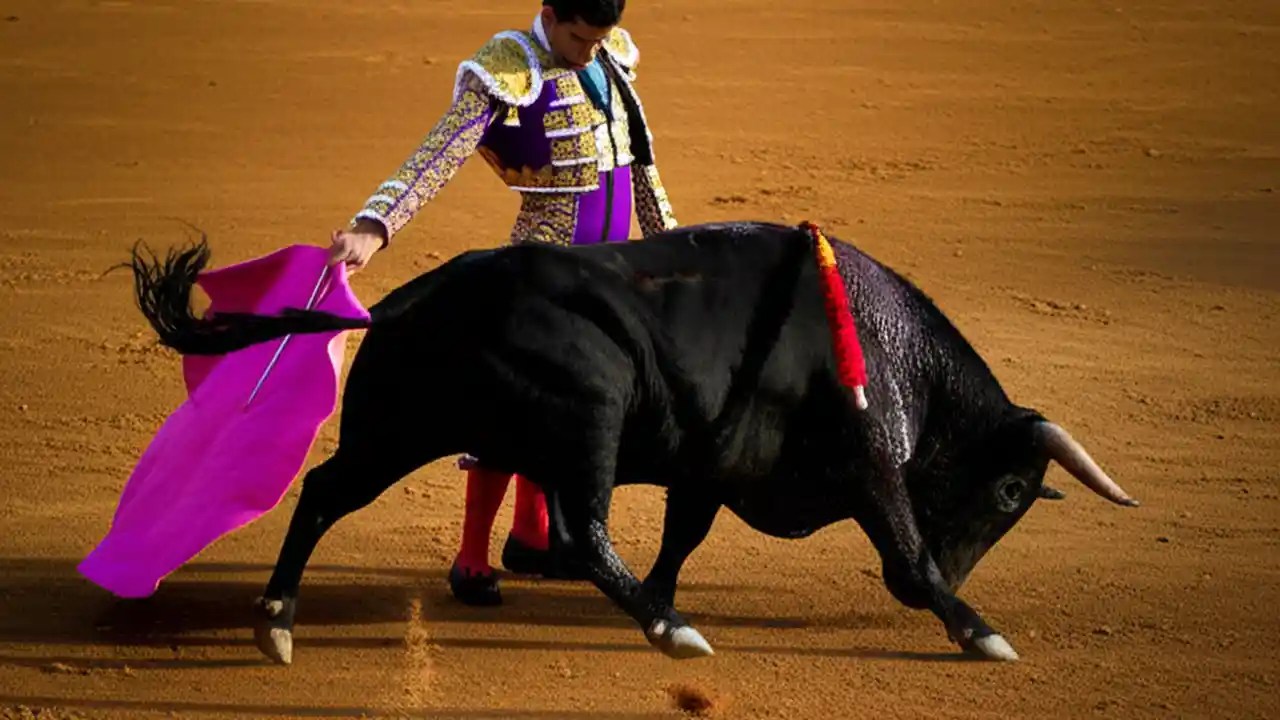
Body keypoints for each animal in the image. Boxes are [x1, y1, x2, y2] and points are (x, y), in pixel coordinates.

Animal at [126, 220, 1137, 666]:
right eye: (1009, 493)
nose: (969, 574)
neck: (895, 354)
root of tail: (411, 298)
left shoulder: (712, 467)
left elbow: (683, 537)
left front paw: (664, 590)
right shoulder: (869, 466)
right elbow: (913, 552)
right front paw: (978, 630)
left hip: (401, 426)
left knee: (324, 491)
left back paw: (277, 623)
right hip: (591, 411)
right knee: (581, 531)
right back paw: (669, 632)